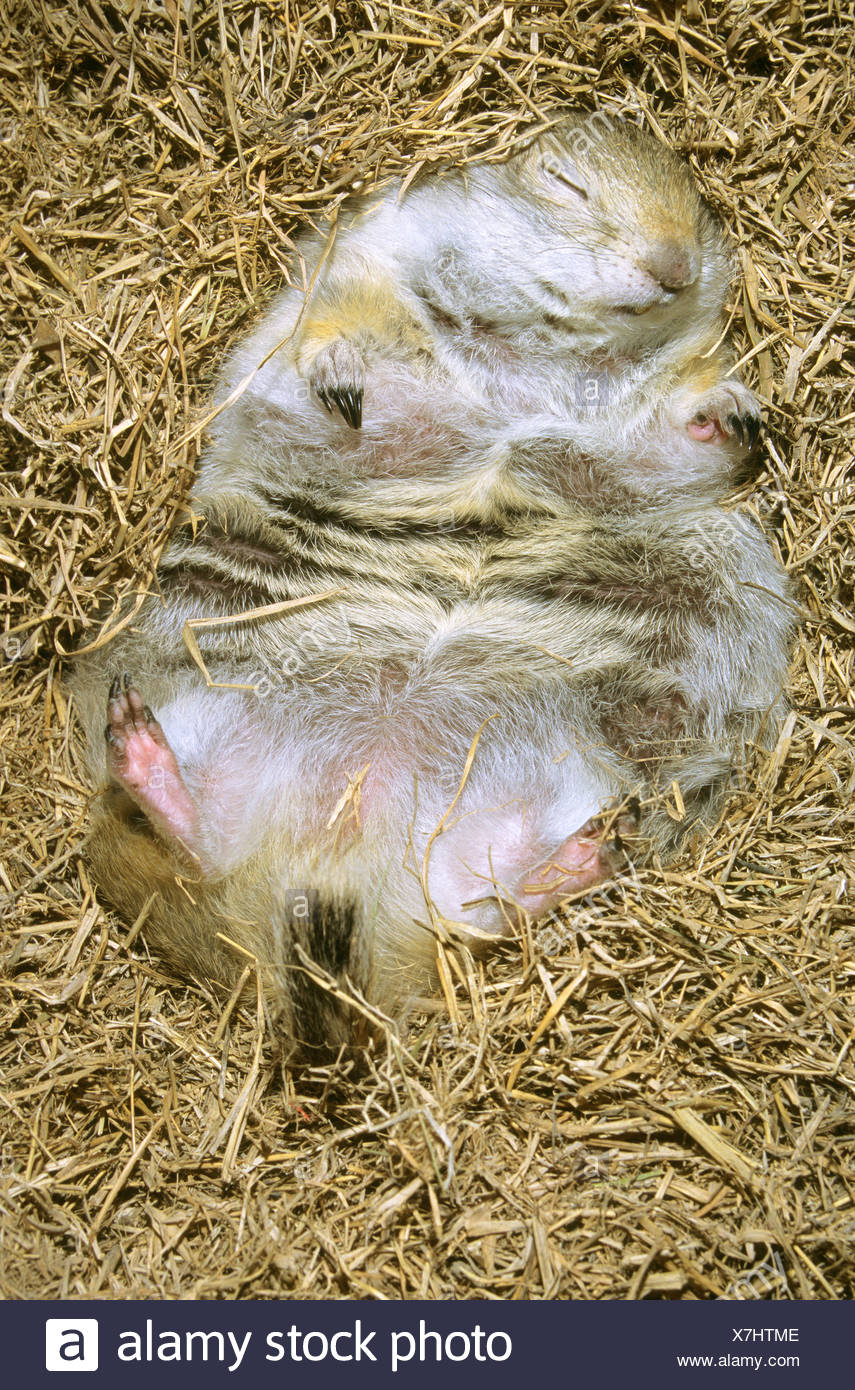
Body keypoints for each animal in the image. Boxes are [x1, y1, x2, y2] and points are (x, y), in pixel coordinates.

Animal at [72, 112, 792, 1057]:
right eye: (561, 181)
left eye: (698, 215)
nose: (673, 266)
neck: (526, 363)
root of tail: (337, 861)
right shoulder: (349, 279)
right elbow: (319, 357)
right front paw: (340, 374)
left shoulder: (627, 440)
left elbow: (658, 449)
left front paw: (734, 413)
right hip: (196, 719)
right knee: (175, 859)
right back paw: (142, 754)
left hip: (527, 806)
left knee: (478, 910)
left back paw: (581, 859)